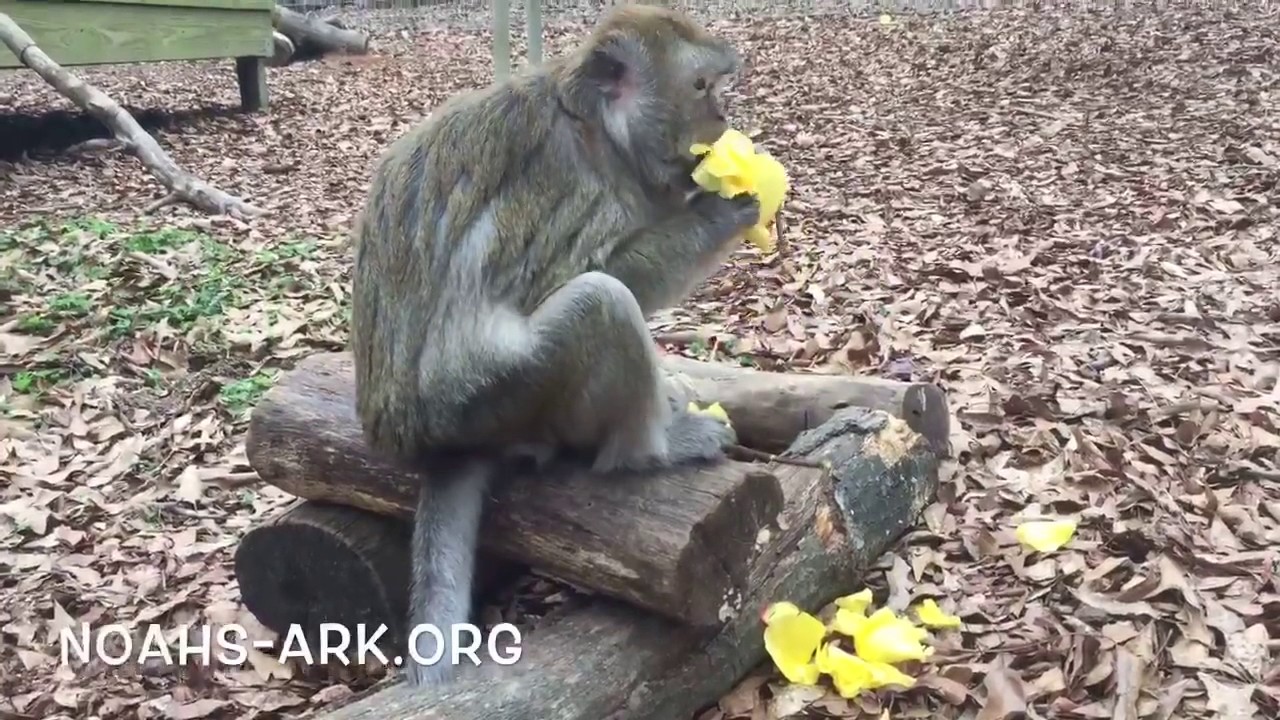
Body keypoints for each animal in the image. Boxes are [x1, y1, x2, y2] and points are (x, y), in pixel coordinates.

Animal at [349, 4, 759, 687]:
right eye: (701, 86)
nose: (724, 120)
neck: (598, 130)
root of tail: (432, 442)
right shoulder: (582, 194)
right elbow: (604, 277)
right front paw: (721, 210)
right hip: (496, 403)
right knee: (600, 302)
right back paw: (648, 451)